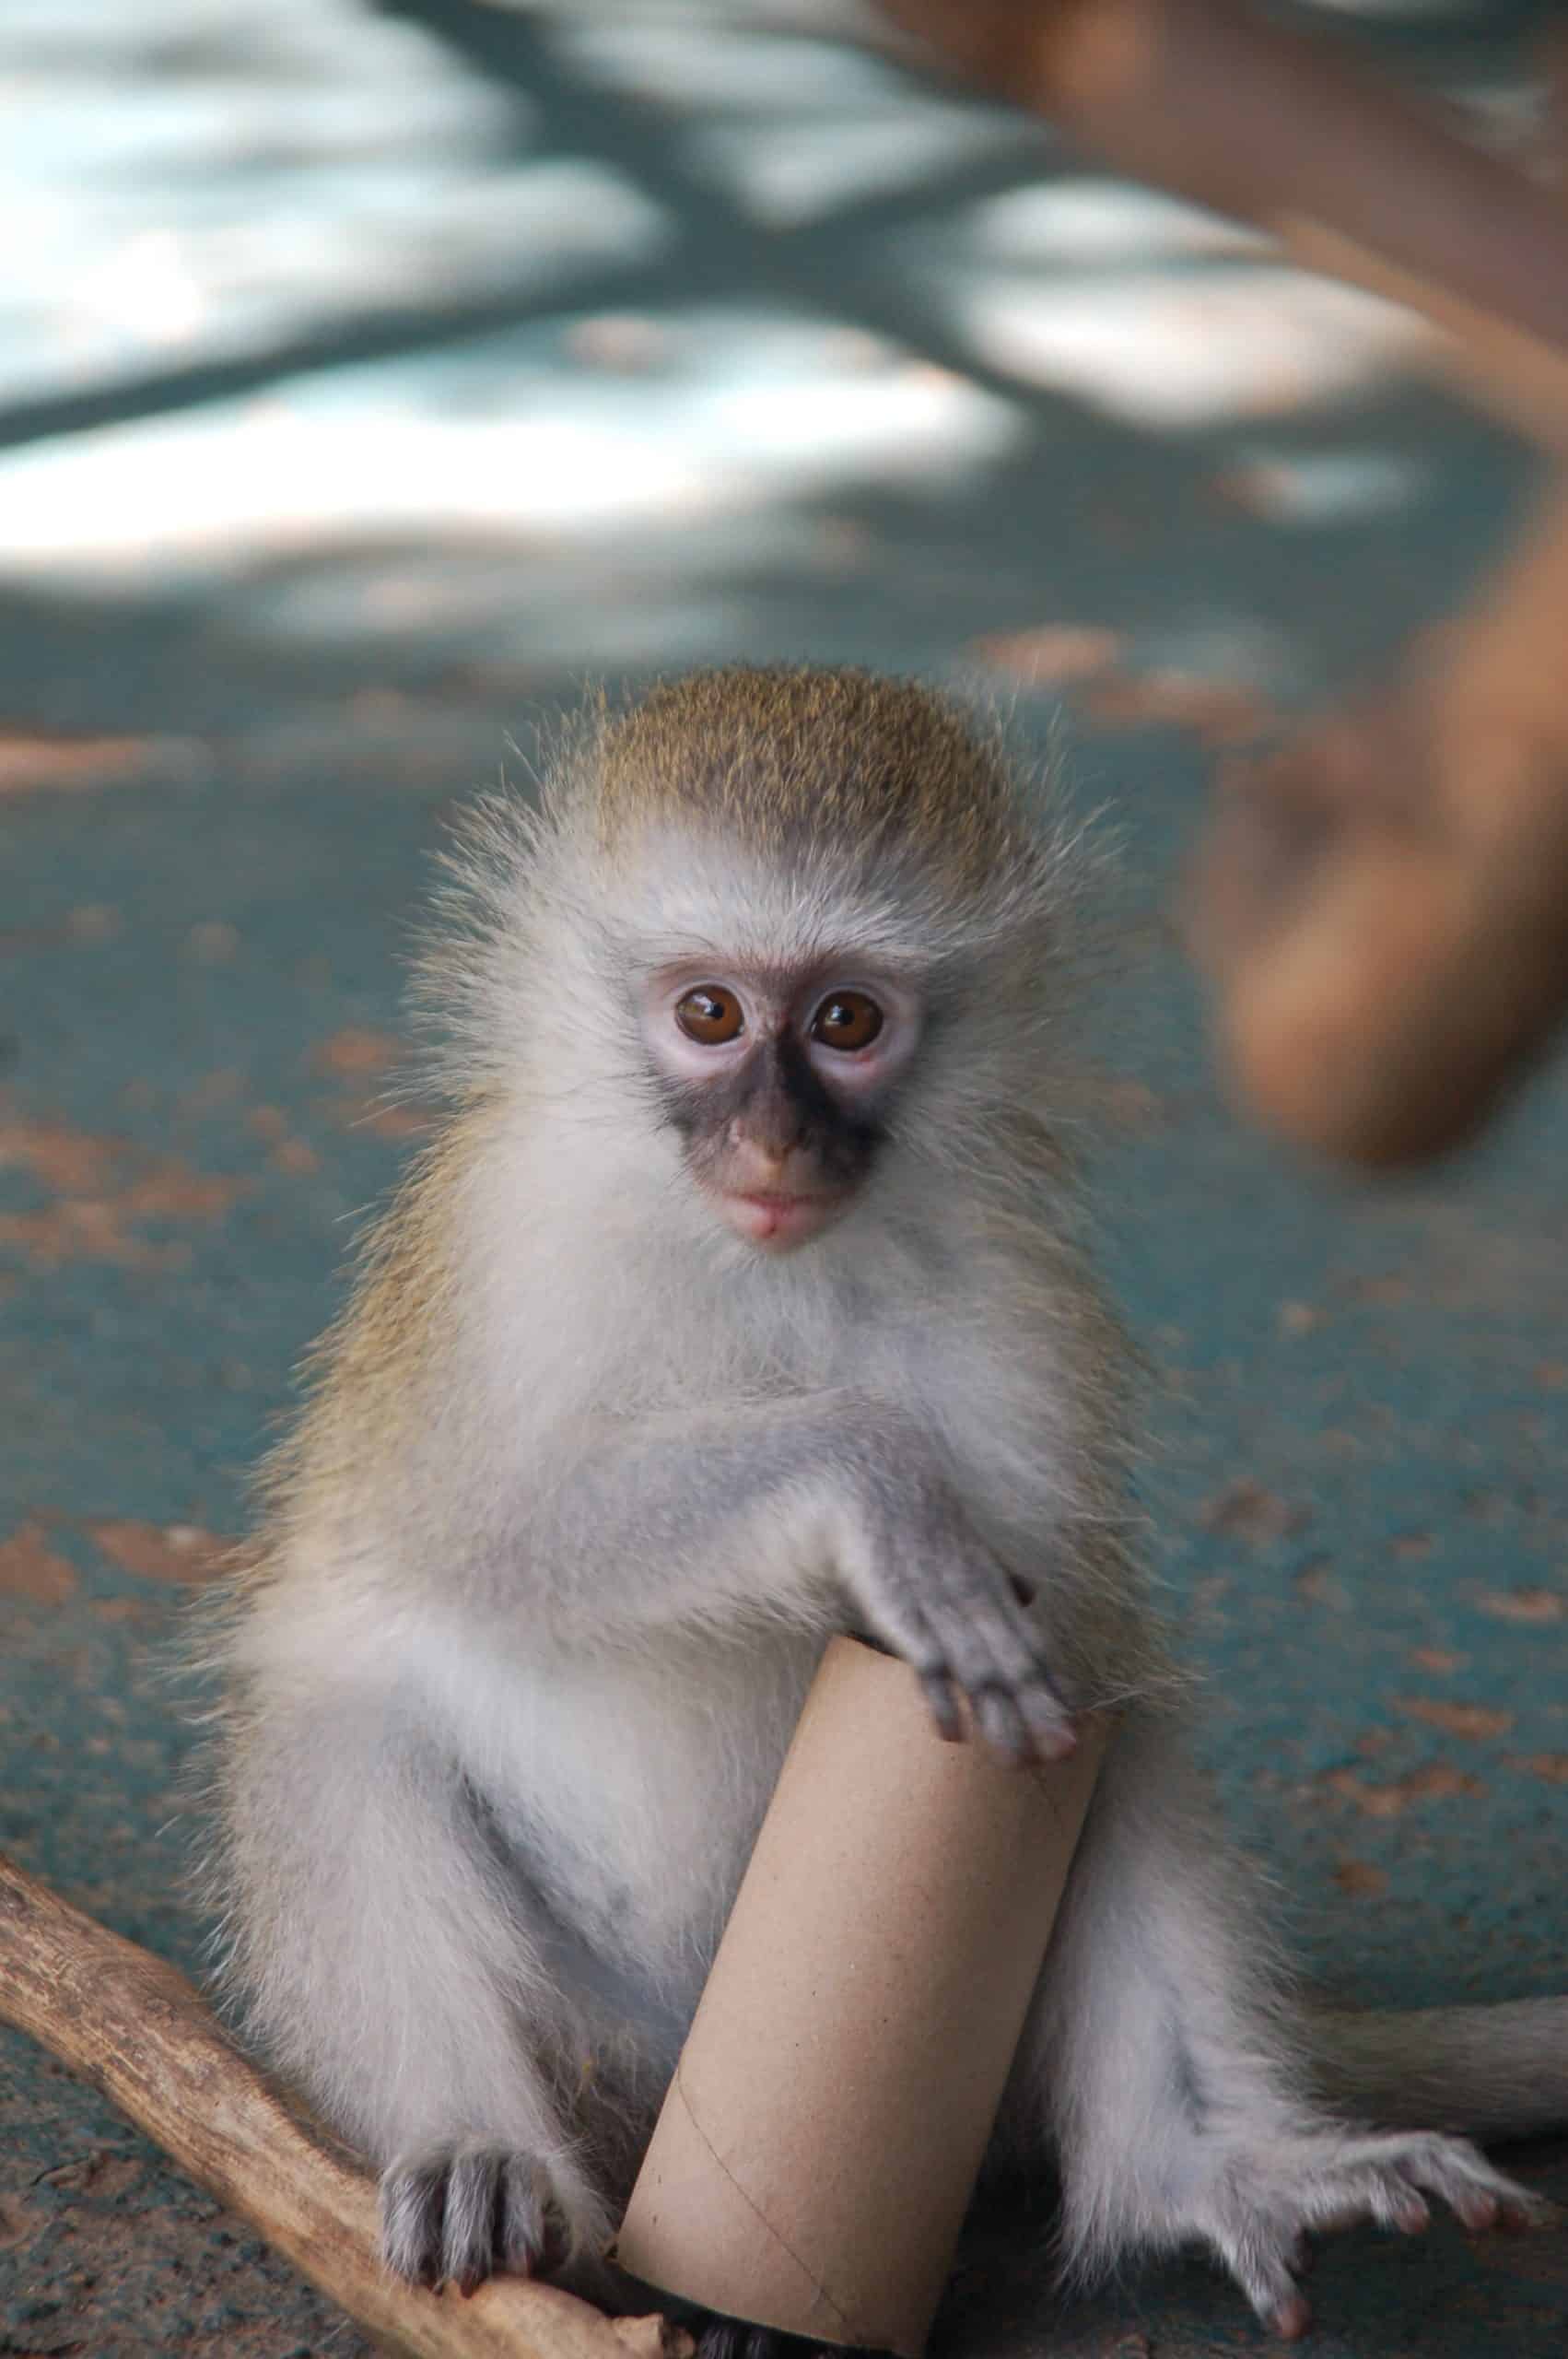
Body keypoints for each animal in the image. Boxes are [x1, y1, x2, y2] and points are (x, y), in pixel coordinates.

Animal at [199, 665, 1566, 2348]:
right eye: (709, 1014)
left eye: (845, 1023)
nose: (774, 1139)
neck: (754, 1270)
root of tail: (667, 2078)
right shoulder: (497, 1241)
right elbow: (482, 1525)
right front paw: (870, 1489)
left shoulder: (1015, 1303)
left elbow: (1061, 1633)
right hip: (584, 2027)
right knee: (340, 1731)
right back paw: (491, 2161)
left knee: (1114, 1721)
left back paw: (1201, 2168)